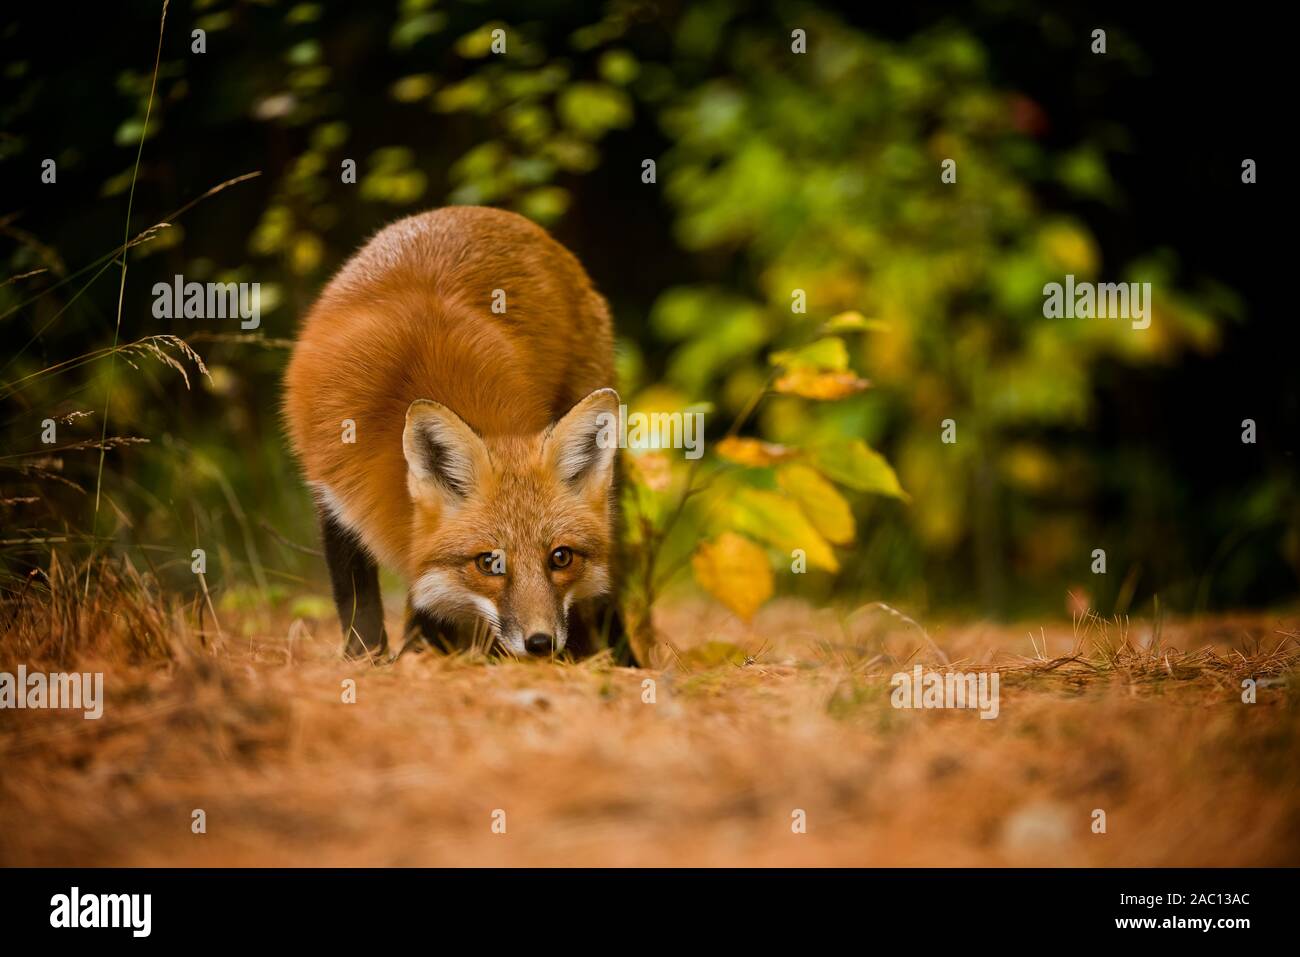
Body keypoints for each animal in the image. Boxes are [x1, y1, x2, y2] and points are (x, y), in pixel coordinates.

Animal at [283, 206, 627, 662]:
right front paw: (366, 660)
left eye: (561, 558)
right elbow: (360, 604)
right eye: (489, 563)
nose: (541, 644)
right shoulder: (335, 502)